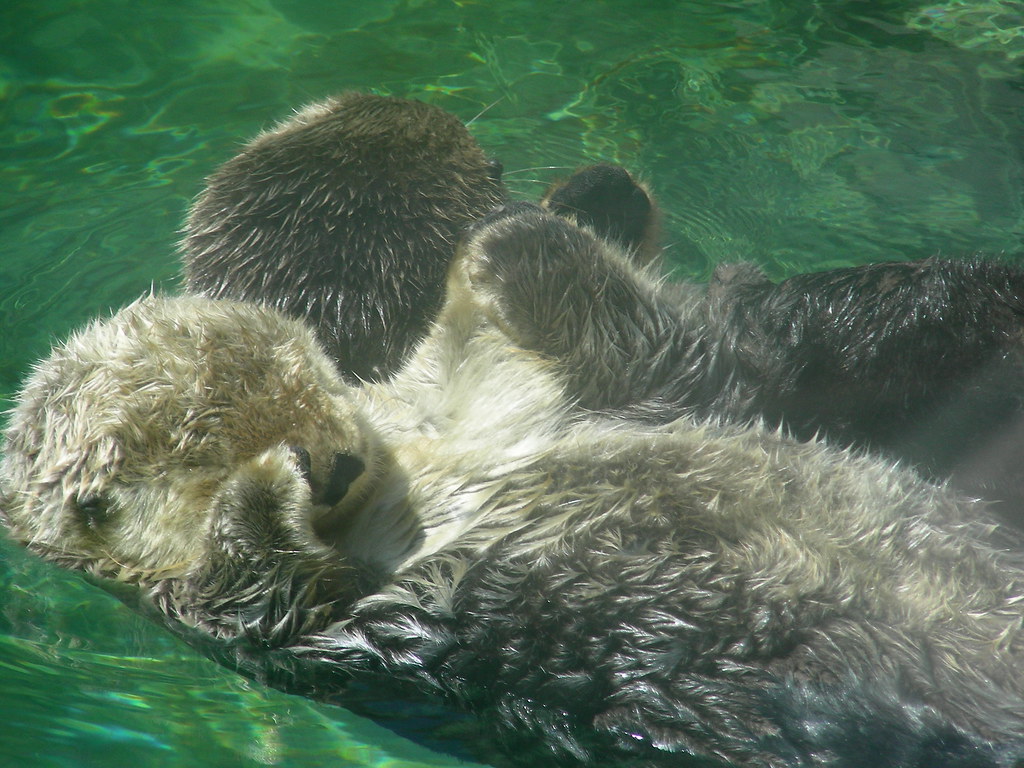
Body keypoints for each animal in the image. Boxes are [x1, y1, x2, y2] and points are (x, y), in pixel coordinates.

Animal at [5, 206, 1024, 767]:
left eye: (310, 383)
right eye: (202, 450)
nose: (331, 462)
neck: (414, 461)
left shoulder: (564, 389)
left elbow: (645, 354)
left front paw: (499, 245)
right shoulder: (255, 625)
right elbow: (268, 582)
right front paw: (263, 489)